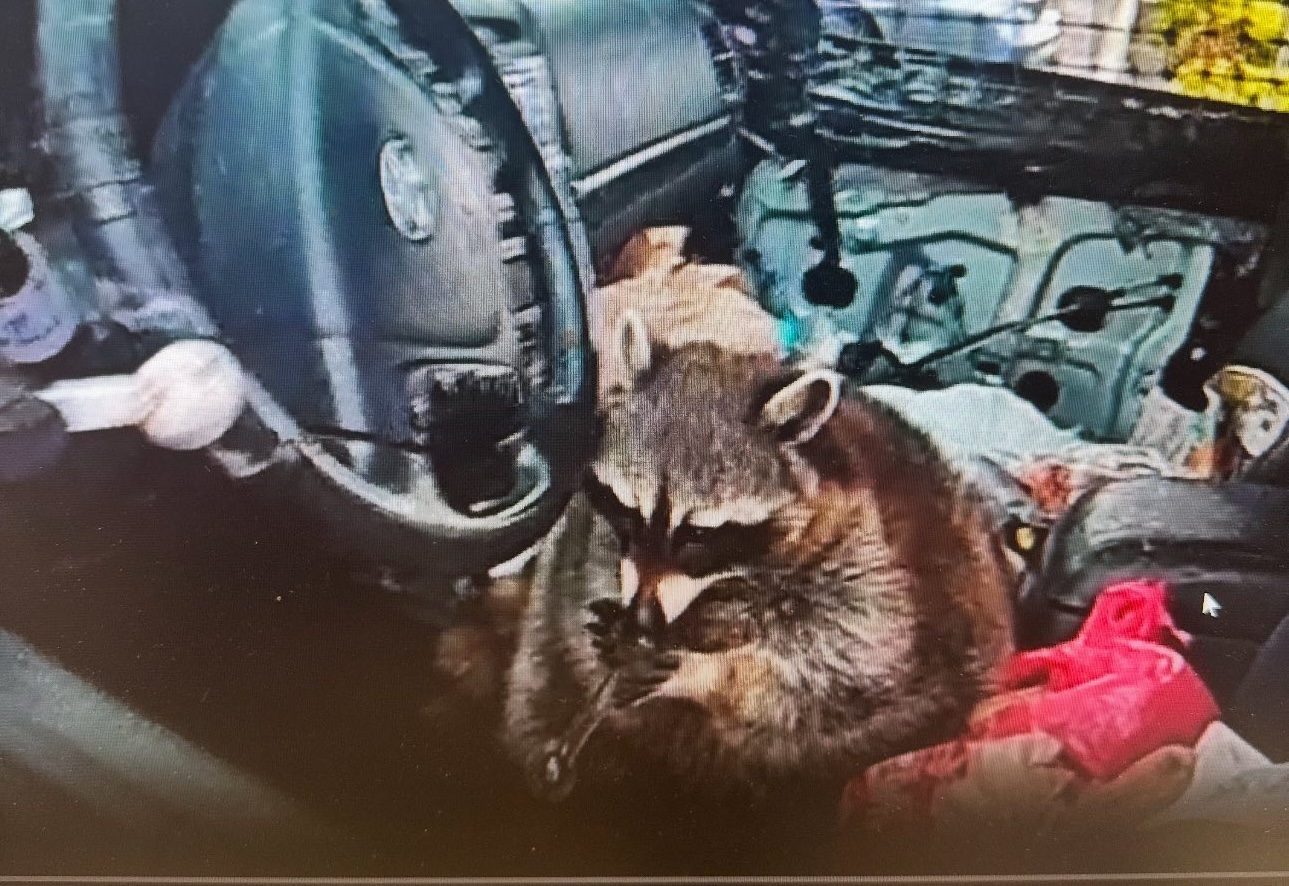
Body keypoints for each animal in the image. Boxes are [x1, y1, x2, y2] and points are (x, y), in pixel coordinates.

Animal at [501, 312, 1015, 803]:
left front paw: (707, 662)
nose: (643, 622)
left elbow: (833, 670)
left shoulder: (871, 564)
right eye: (628, 510)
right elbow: (586, 585)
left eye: (698, 534)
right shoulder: (592, 540)